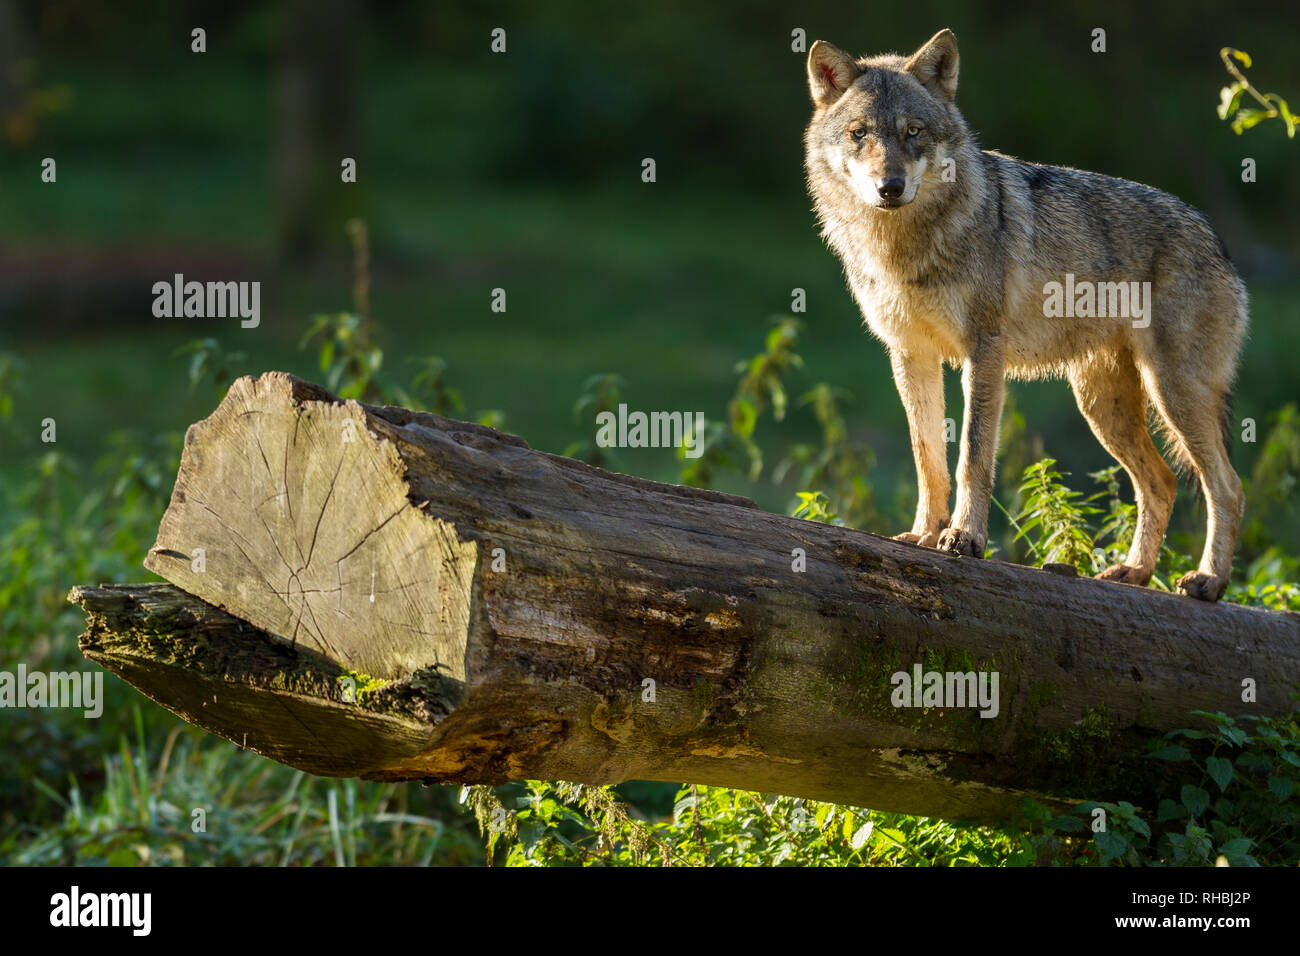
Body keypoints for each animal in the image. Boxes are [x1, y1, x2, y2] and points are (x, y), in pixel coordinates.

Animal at [804, 29, 1247, 601]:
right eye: (859, 134)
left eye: (913, 132)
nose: (890, 187)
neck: (904, 248)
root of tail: (1215, 237)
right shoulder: (910, 353)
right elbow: (928, 458)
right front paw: (924, 533)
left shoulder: (983, 351)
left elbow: (972, 456)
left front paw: (964, 538)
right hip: (1103, 406)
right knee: (1164, 481)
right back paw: (1133, 572)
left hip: (1172, 393)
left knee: (1227, 486)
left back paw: (1209, 581)